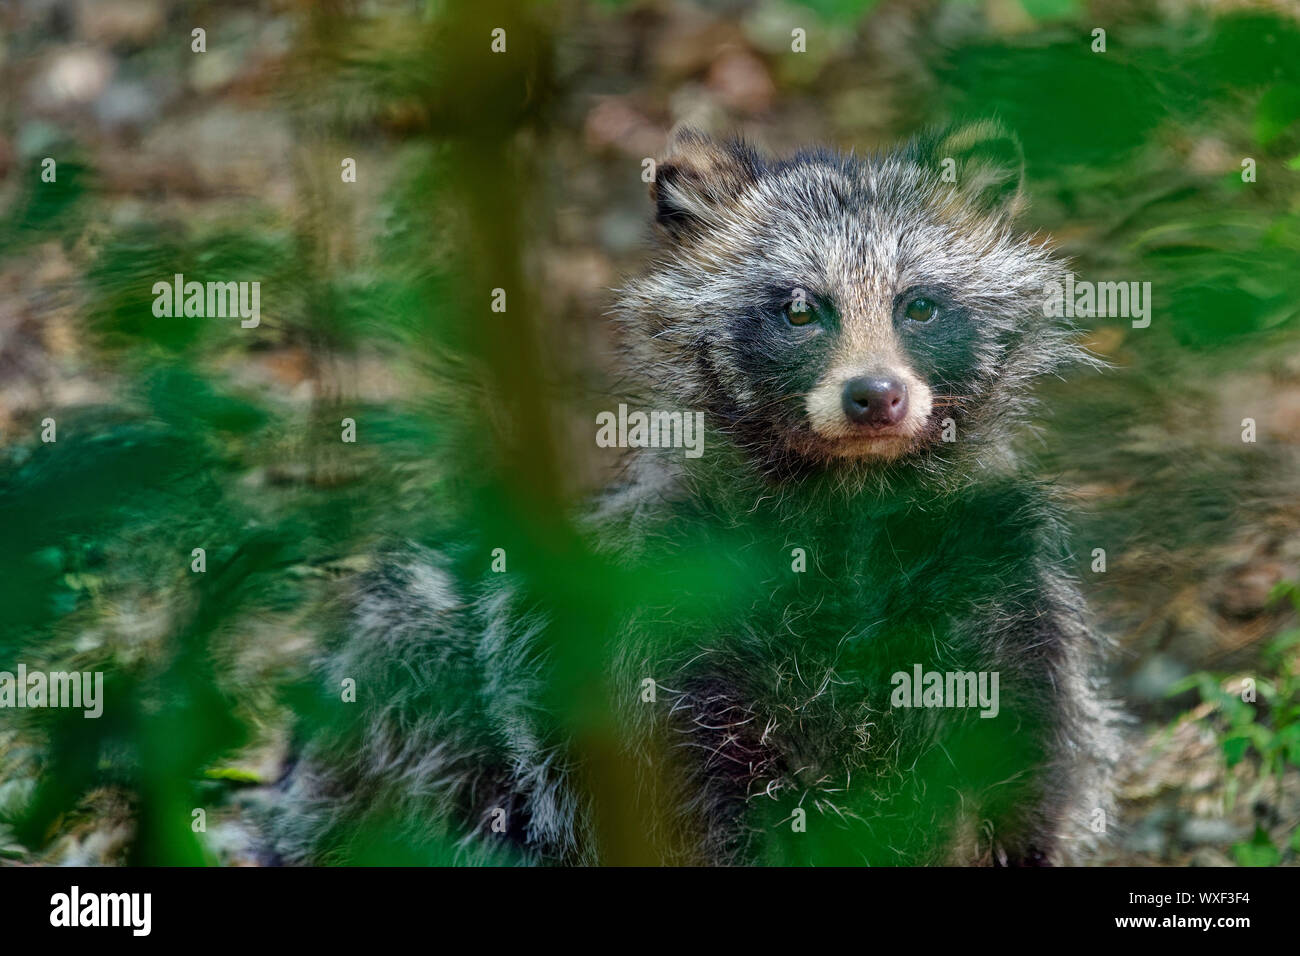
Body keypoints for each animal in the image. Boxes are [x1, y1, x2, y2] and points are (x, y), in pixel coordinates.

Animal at [265, 123, 1122, 866]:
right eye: (800, 309)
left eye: (919, 305)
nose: (875, 396)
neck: (850, 500)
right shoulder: (674, 631)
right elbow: (692, 810)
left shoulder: (1003, 608)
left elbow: (1022, 793)